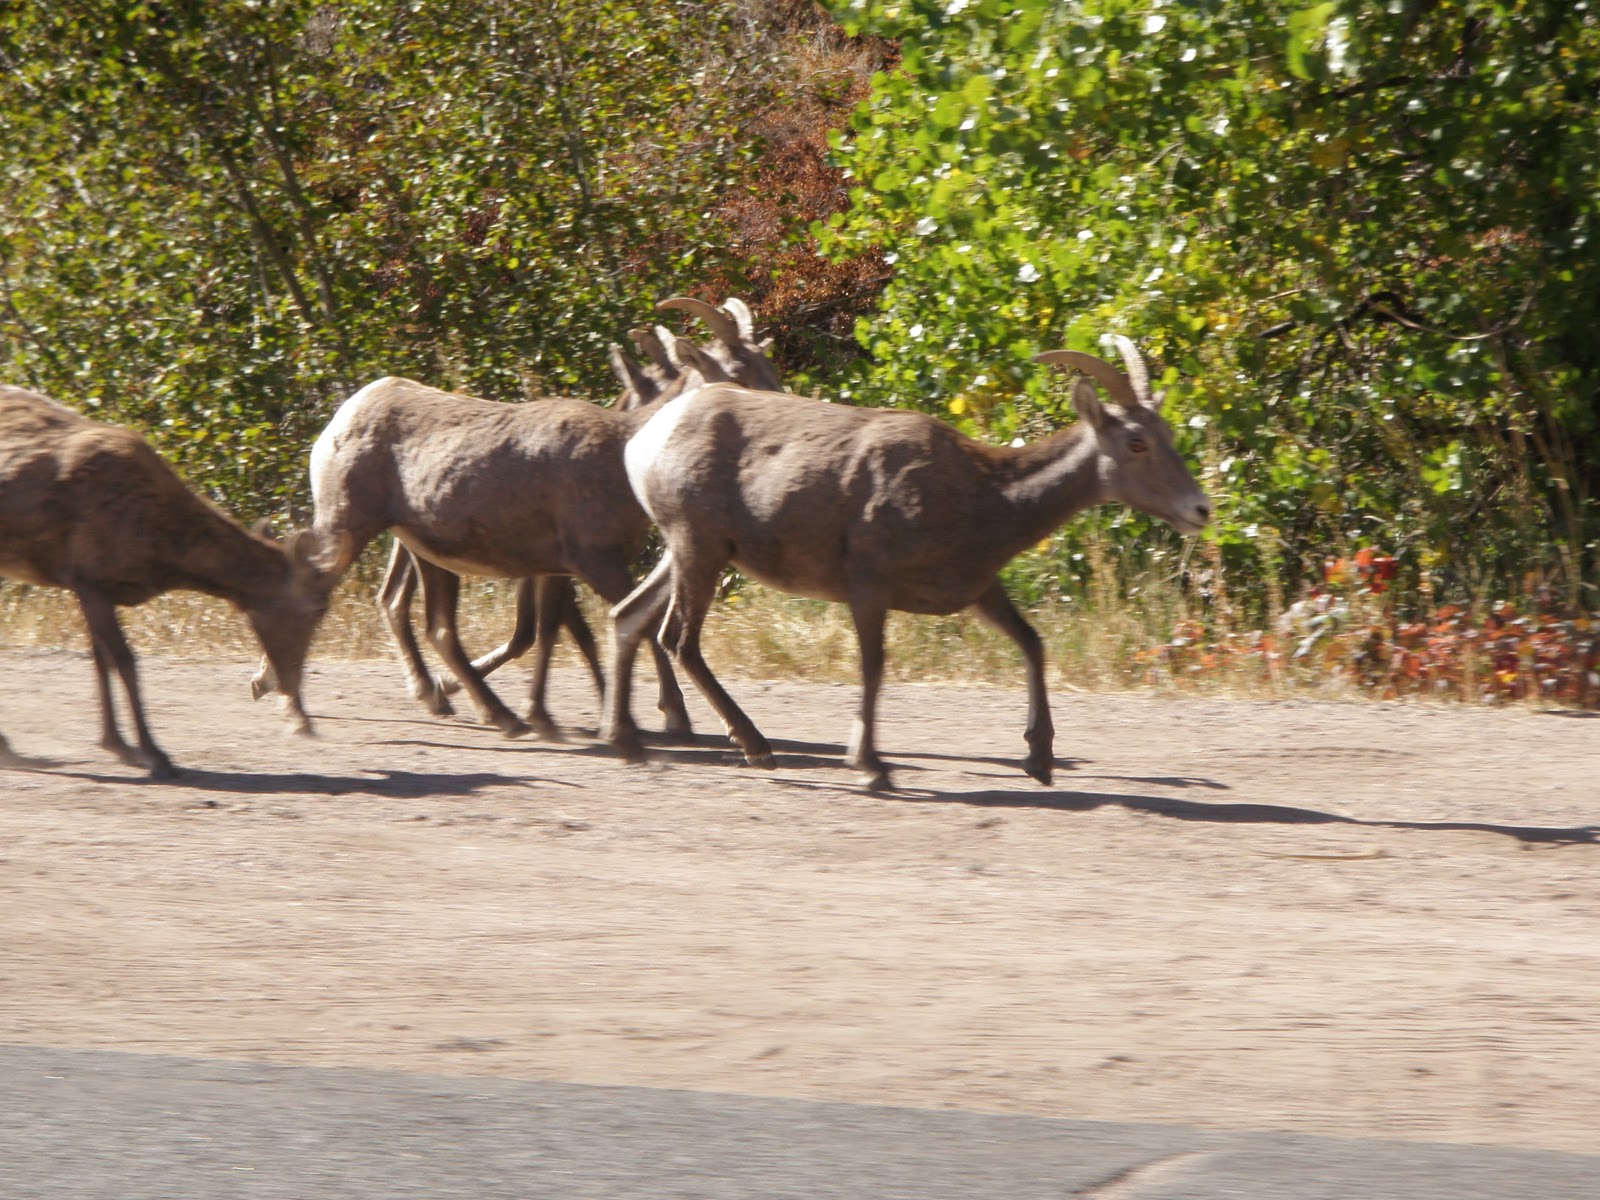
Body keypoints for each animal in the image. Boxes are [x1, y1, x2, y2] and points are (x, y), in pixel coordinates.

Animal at [0, 385, 336, 776]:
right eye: (318, 607)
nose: (289, 684)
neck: (167, 555)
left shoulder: (94, 588)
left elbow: (100, 661)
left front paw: (117, 744)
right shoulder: (90, 580)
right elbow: (124, 662)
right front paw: (153, 752)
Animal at [277, 298, 782, 739]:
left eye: (767, 363)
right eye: (737, 372)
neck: (621, 455)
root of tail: (345, 416)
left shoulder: (556, 569)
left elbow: (548, 635)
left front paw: (545, 715)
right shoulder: (596, 563)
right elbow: (632, 629)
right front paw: (672, 719)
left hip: (425, 551)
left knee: (433, 625)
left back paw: (493, 714)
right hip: (346, 526)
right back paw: (294, 707)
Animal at [602, 337, 1211, 789]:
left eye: (1165, 434)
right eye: (1135, 442)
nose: (1200, 510)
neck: (982, 496)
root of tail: (646, 442)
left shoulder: (977, 591)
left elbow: (1033, 643)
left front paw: (1038, 761)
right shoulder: (868, 588)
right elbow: (874, 666)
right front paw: (871, 767)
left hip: (685, 554)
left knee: (629, 617)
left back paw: (628, 741)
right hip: (698, 550)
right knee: (679, 639)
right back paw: (757, 748)